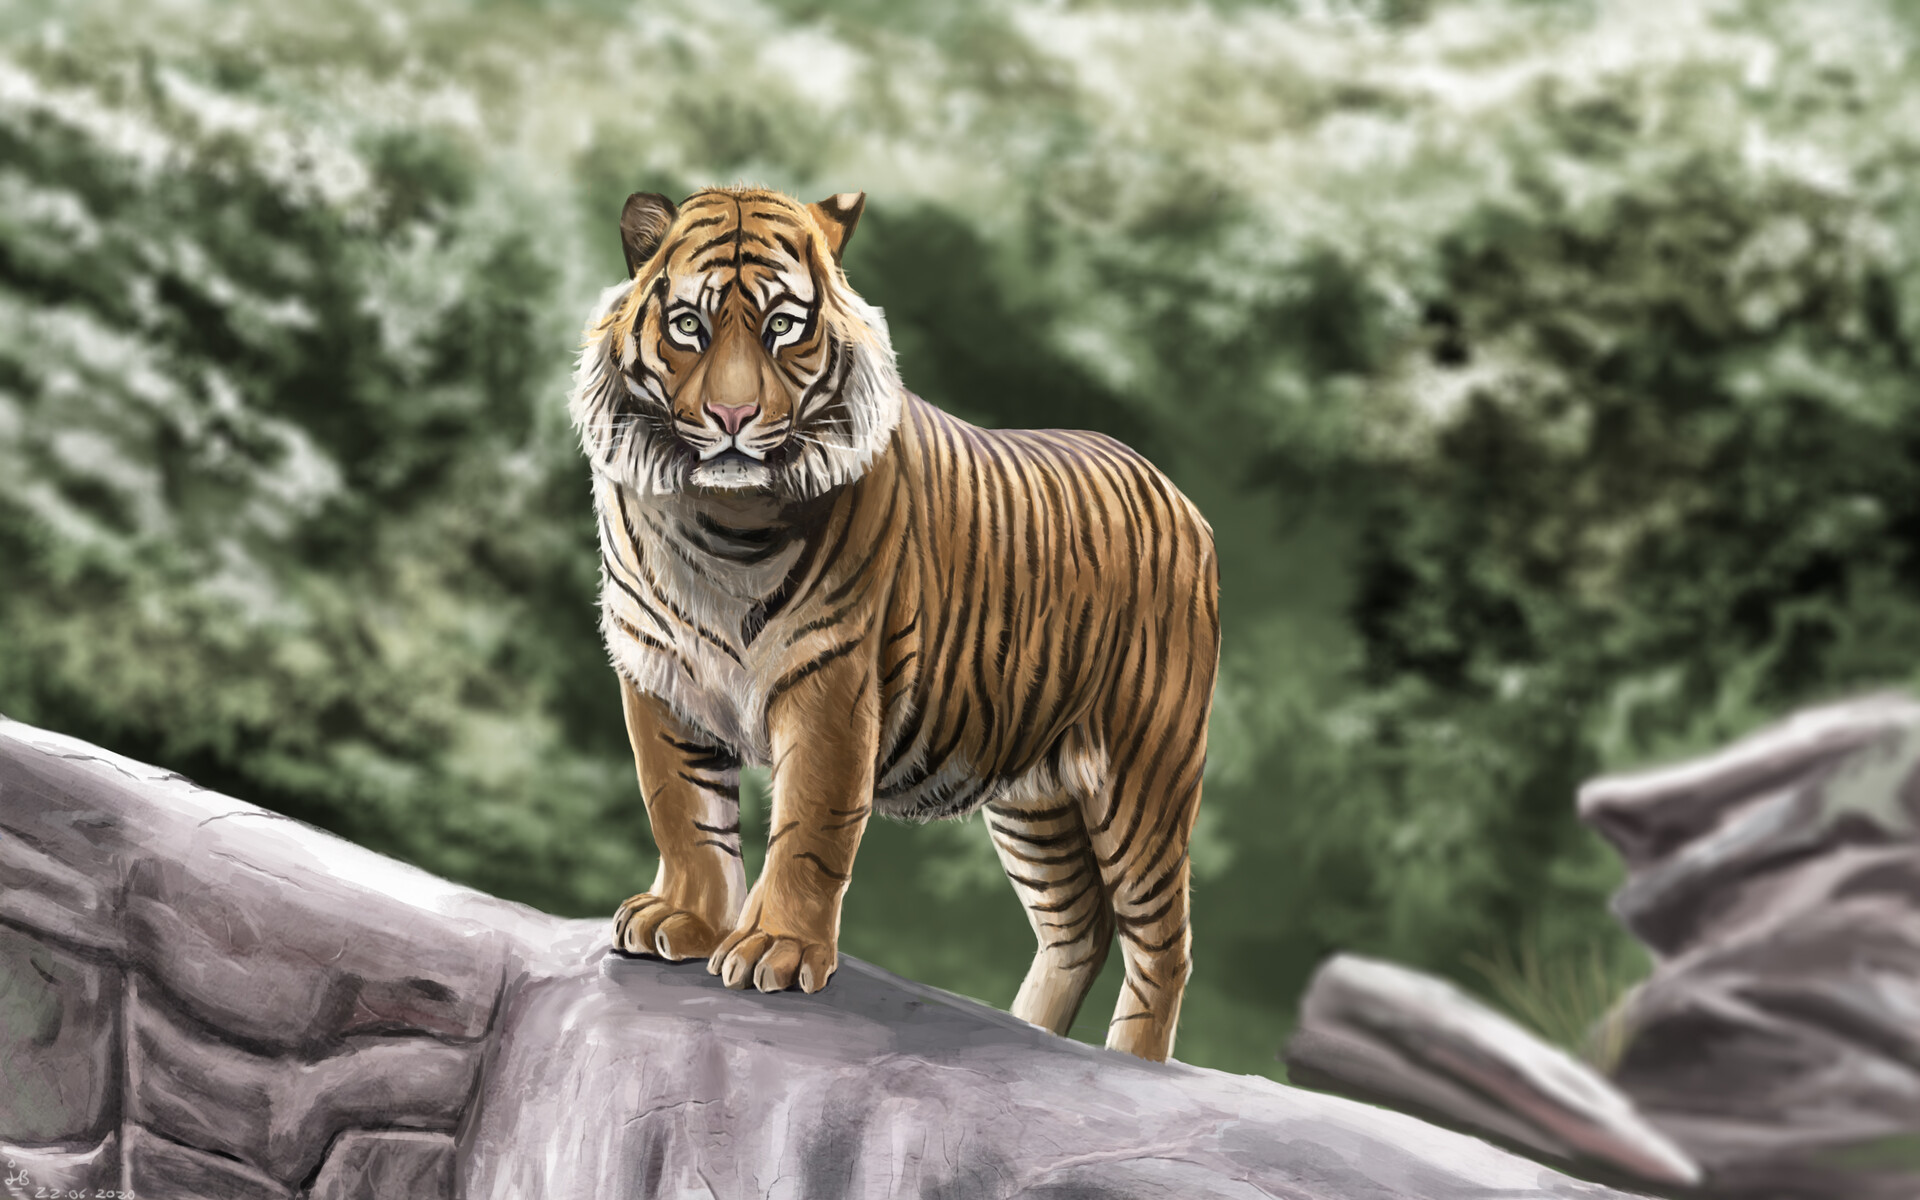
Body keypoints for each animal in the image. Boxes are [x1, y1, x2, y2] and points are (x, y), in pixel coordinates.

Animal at [569, 184, 1220, 1062]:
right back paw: (1027, 1030)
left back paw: (1132, 1063)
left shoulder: (832, 684)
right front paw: (686, 918)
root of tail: (1177, 492)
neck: (717, 525)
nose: (733, 414)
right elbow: (683, 809)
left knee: (1164, 943)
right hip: (1035, 795)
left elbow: (809, 826)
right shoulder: (660, 674)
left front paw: (775, 948)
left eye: (783, 325)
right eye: (688, 326)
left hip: (1142, 773)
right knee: (1077, 925)